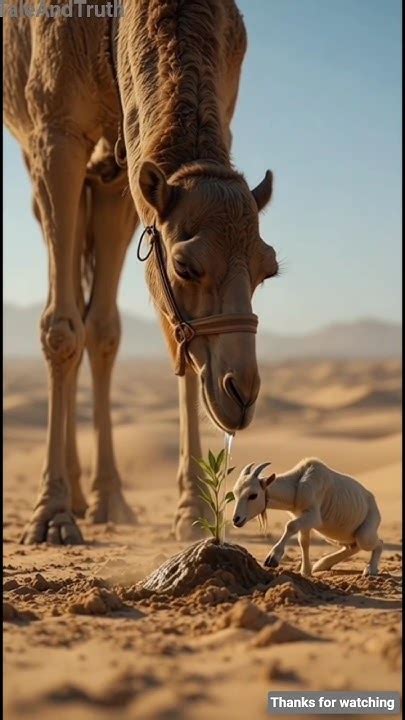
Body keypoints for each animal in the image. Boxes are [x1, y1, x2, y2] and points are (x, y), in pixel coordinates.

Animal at [4, 0, 278, 544]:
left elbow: (170, 340)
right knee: (67, 299)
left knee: (98, 320)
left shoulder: (133, 169)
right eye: (185, 265)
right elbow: (59, 329)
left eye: (268, 268)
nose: (242, 393)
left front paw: (192, 511)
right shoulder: (55, 131)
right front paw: (51, 517)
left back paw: (106, 499)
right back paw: (72, 501)